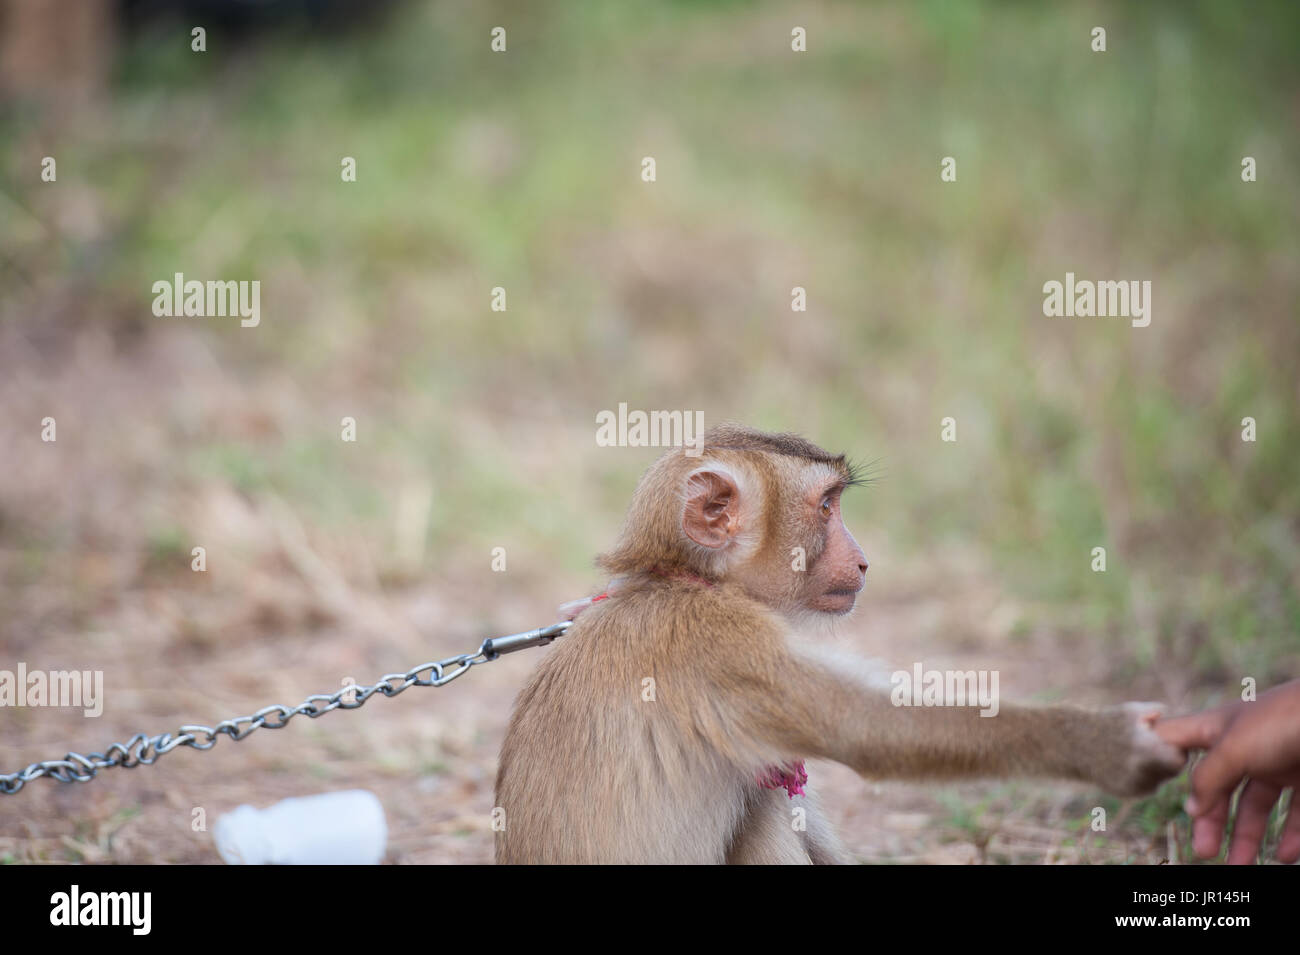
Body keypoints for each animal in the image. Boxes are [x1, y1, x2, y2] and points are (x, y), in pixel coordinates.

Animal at [494, 424, 1187, 864]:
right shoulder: (723, 646)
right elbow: (868, 730)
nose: (863, 561)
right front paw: (1106, 743)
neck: (686, 581)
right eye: (828, 506)